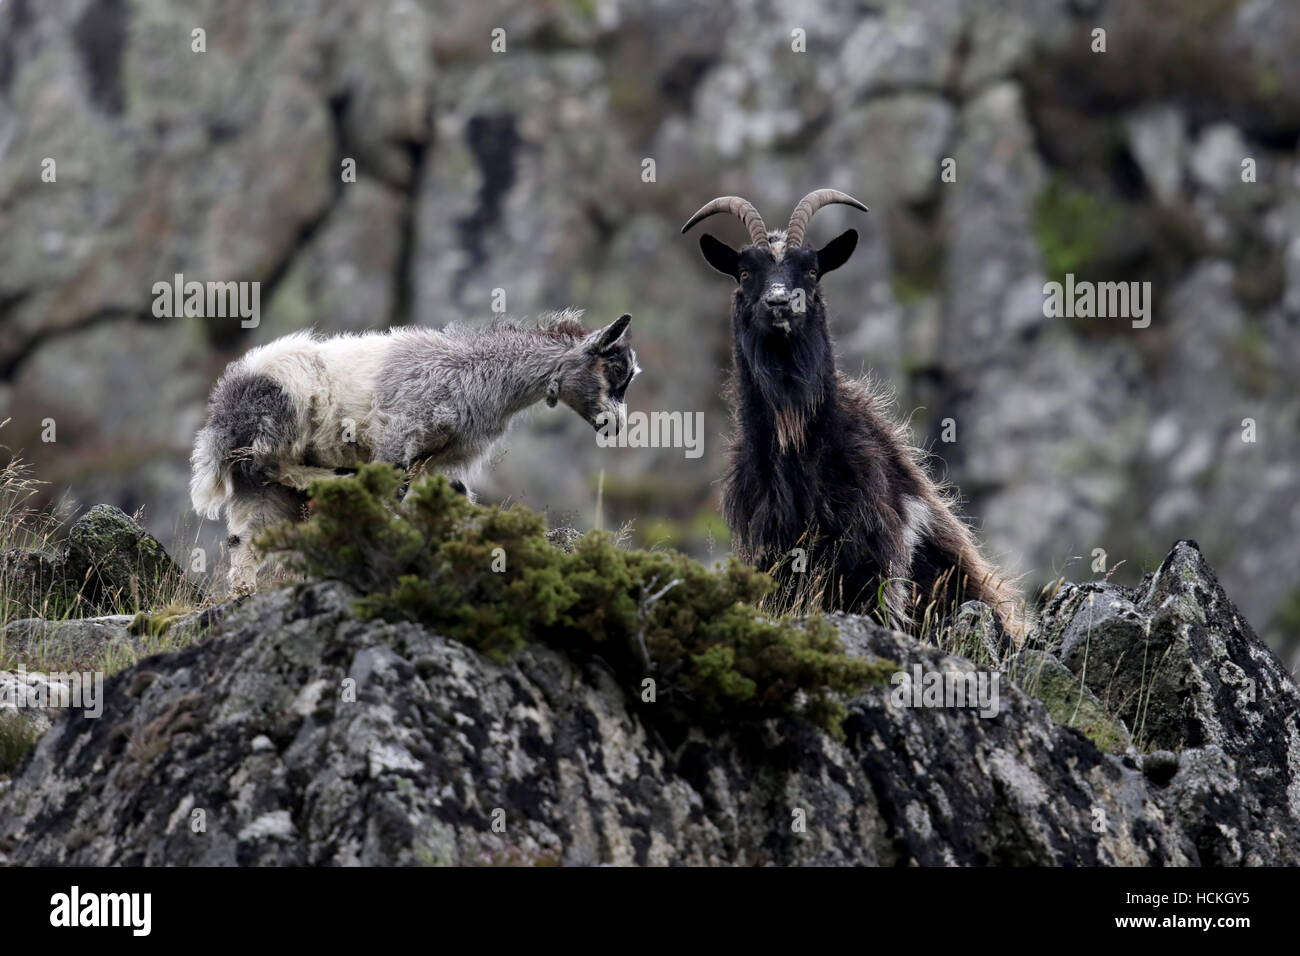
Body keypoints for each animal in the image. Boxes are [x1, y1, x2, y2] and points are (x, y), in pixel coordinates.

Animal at [190, 311, 638, 591]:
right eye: (614, 370)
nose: (615, 425)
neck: (480, 372)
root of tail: (225, 401)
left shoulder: (444, 459)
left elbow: (455, 495)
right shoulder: (400, 433)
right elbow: (392, 488)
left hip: (259, 489)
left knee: (246, 537)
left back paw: (245, 589)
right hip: (280, 419)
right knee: (273, 463)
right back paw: (335, 479)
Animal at [683, 189, 1024, 637]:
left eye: (812, 271)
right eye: (743, 273)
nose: (779, 302)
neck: (798, 446)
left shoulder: (872, 553)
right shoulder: (772, 553)